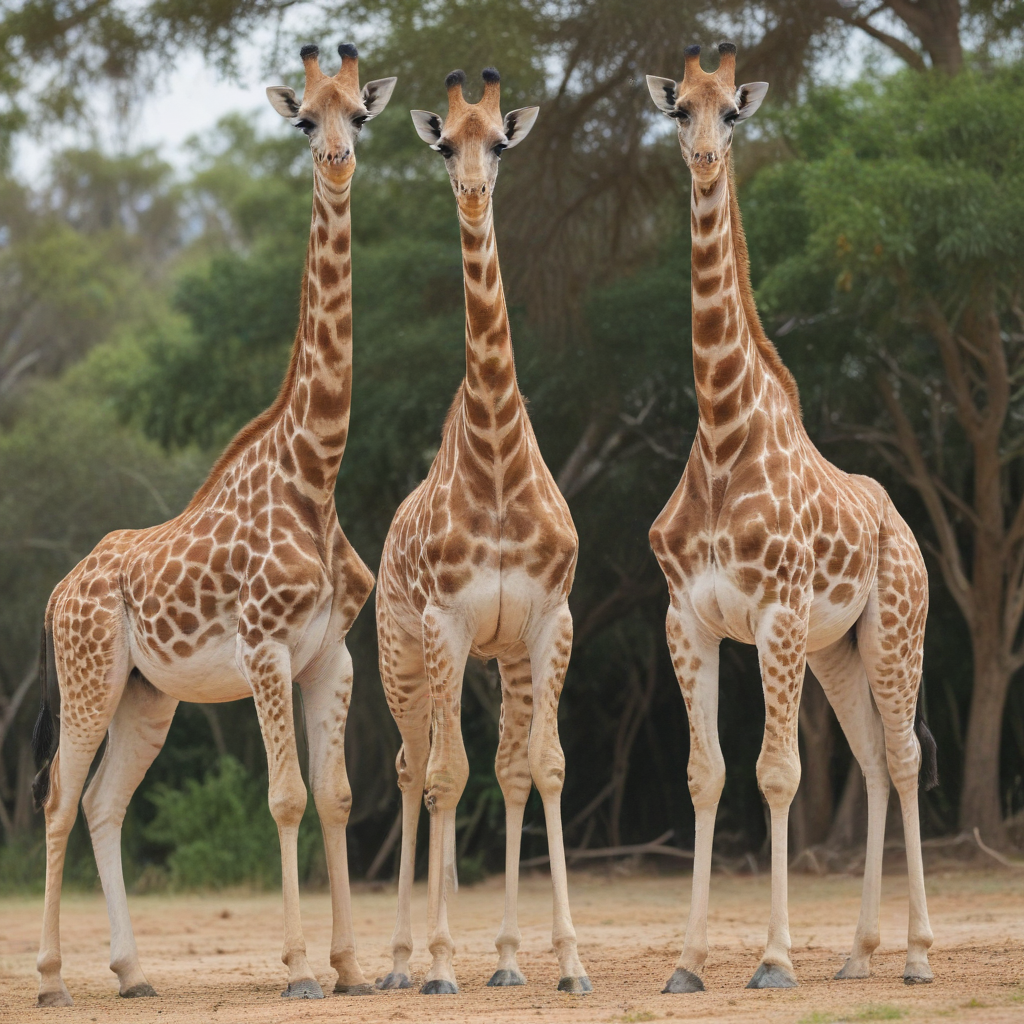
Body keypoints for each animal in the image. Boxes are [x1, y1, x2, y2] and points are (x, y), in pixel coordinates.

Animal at [27, 43, 396, 1007]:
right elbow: (286, 797)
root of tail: (56, 593)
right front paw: (300, 970)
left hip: (146, 694)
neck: (315, 474)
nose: (337, 162)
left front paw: (352, 968)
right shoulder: (265, 649)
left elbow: (338, 796)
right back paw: (52, 978)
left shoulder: (331, 654)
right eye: (304, 120)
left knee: (103, 802)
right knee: (57, 797)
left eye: (361, 115)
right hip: (87, 678)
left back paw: (132, 973)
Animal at [643, 42, 937, 992]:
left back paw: (916, 955)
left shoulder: (775, 613)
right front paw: (688, 963)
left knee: (907, 755)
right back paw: (857, 953)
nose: (704, 159)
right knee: (875, 761)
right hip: (836, 647)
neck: (722, 434)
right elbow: (705, 775)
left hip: (896, 627)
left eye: (733, 111)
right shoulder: (687, 618)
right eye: (679, 110)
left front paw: (772, 959)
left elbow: (776, 773)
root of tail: (904, 526)